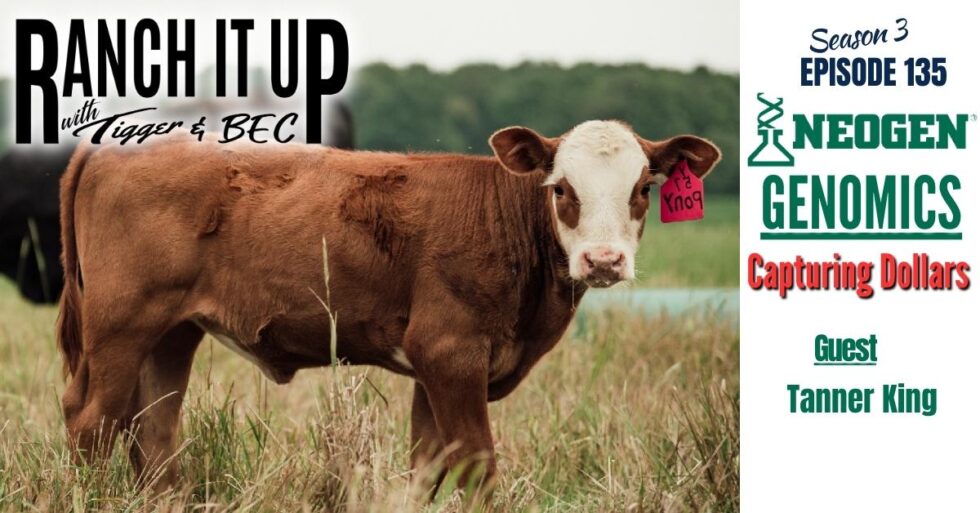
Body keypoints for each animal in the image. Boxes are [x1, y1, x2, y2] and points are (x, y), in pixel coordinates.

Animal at [56, 120, 720, 493]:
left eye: (643, 189)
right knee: (92, 422)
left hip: (171, 333)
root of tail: (111, 145)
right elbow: (477, 467)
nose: (604, 260)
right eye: (561, 189)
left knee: (154, 430)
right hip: (120, 328)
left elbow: (426, 469)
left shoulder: (434, 370)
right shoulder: (451, 353)